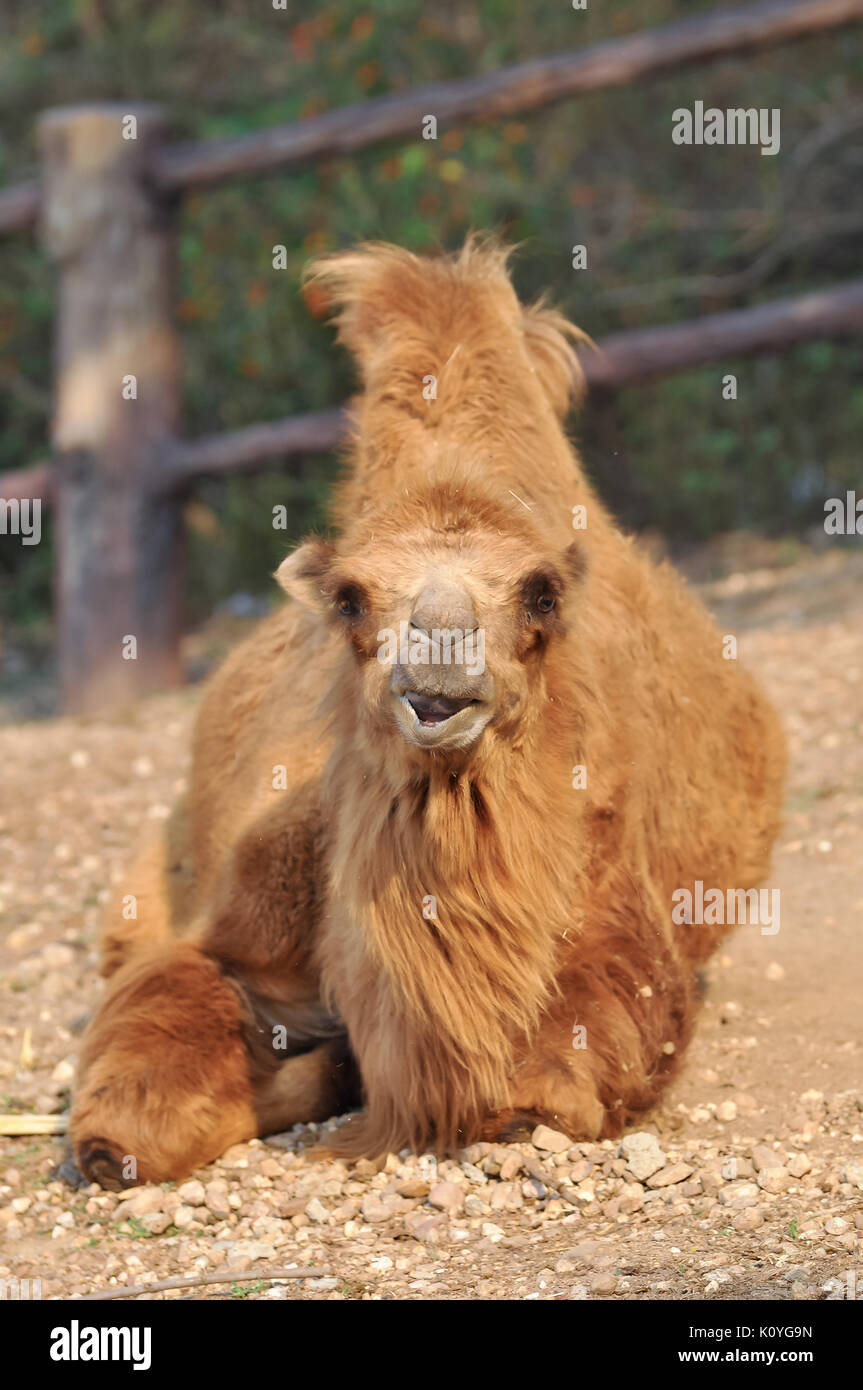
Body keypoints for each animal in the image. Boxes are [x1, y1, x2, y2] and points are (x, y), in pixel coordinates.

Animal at [69, 238, 786, 1187]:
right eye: (348, 598)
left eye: (541, 594)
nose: (441, 638)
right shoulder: (236, 923)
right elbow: (141, 1082)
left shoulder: (618, 912)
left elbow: (562, 1070)